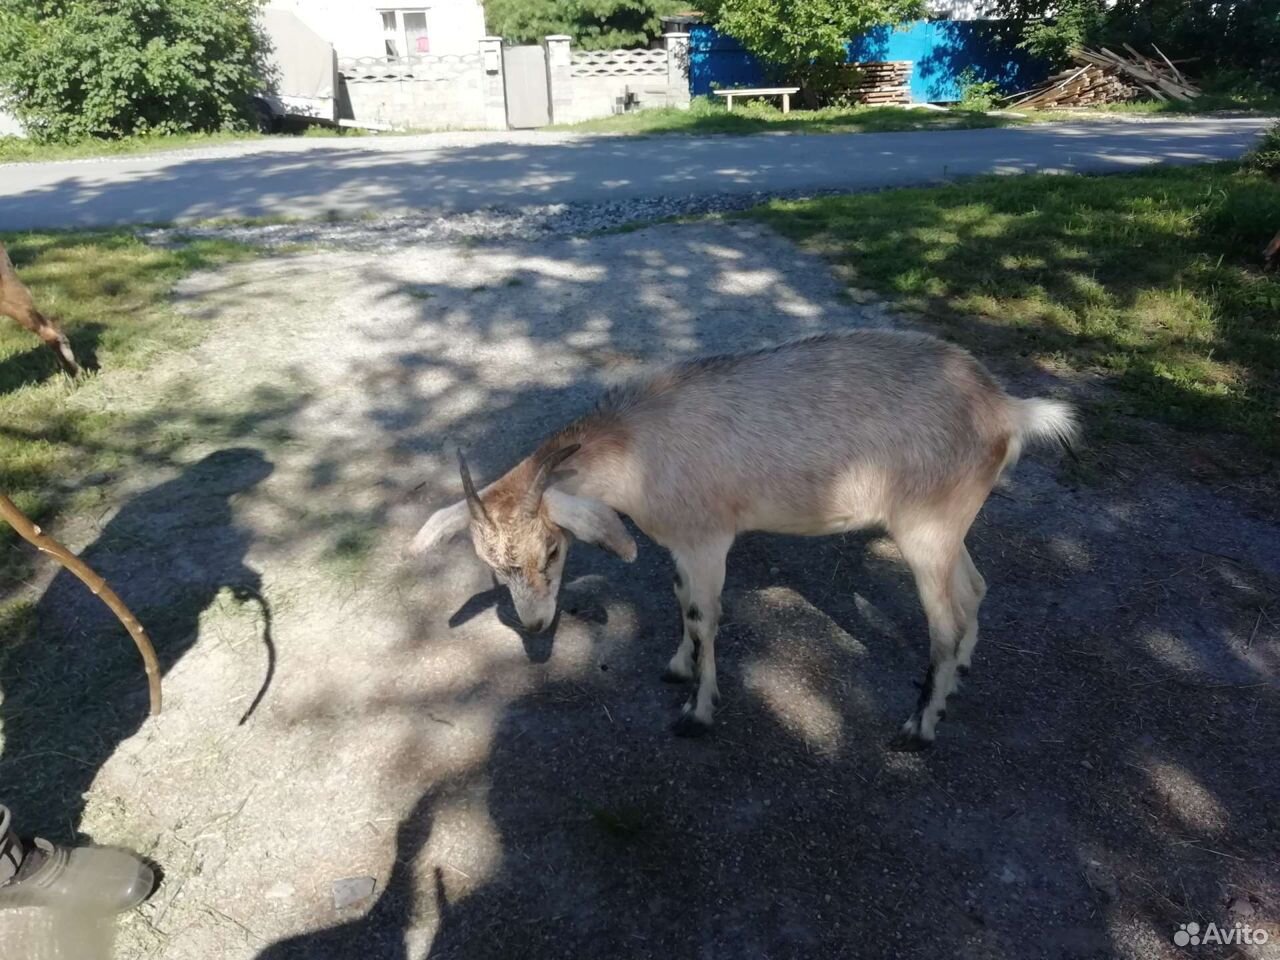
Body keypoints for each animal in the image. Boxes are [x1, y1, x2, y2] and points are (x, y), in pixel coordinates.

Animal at [410, 330, 1076, 747]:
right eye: (491, 563)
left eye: (551, 549)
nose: (536, 626)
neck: (640, 451)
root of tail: (1006, 410)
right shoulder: (682, 546)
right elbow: (682, 601)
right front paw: (678, 667)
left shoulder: (708, 540)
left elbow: (705, 616)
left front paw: (698, 712)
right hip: (949, 526)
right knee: (974, 590)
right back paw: (959, 673)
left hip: (924, 528)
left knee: (944, 622)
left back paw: (920, 728)